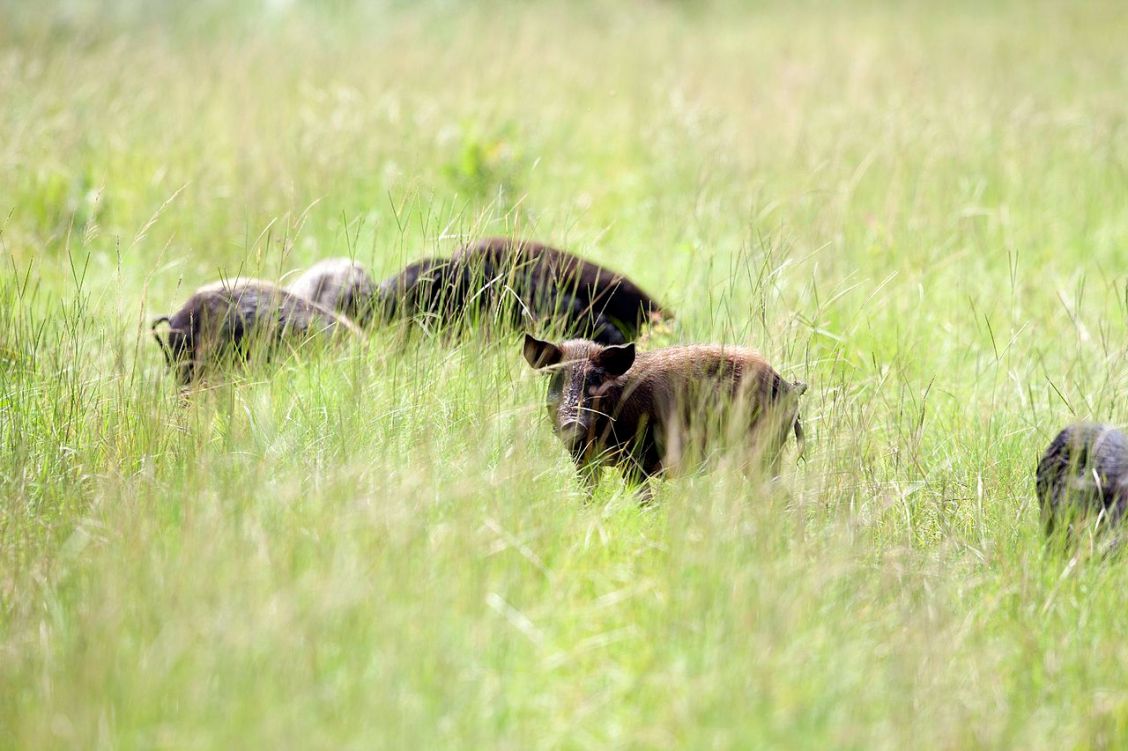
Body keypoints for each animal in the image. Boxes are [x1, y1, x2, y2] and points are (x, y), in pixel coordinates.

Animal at [522, 334, 807, 498]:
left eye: (596, 378)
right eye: (557, 377)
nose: (572, 421)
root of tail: (788, 386)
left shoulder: (636, 460)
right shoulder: (583, 460)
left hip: (762, 451)